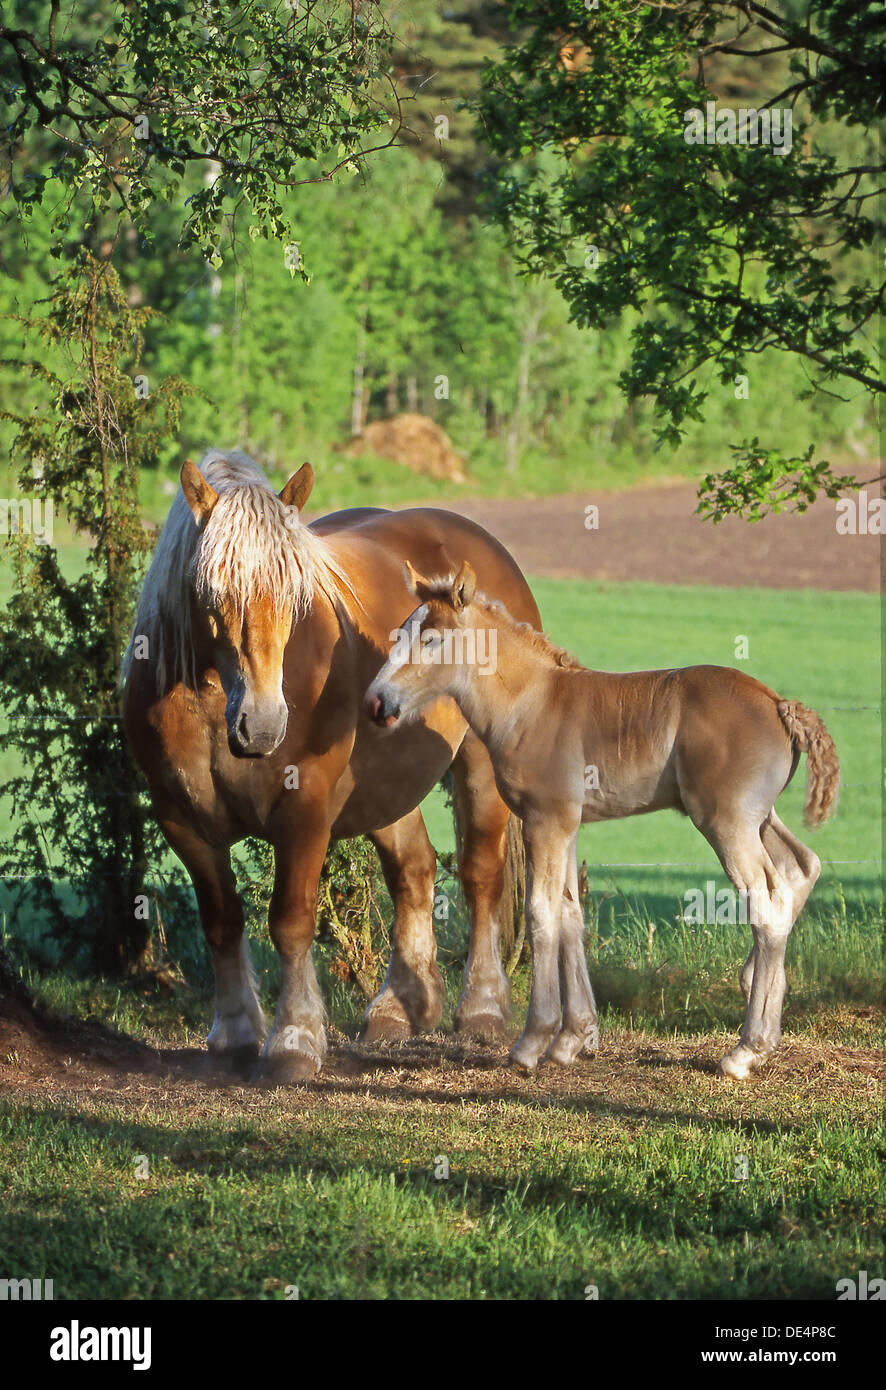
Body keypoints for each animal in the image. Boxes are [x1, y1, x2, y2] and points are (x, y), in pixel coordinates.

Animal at [122, 450, 541, 1081]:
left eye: (295, 593)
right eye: (212, 590)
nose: (263, 726)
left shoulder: (304, 811)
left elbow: (291, 921)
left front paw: (293, 1042)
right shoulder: (181, 821)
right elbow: (221, 920)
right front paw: (235, 1033)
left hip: (479, 768)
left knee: (480, 874)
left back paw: (483, 1008)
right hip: (386, 783)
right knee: (413, 870)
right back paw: (399, 1007)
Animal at [364, 561, 840, 1081]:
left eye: (432, 639)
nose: (376, 703)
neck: (529, 704)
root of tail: (779, 703)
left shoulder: (546, 820)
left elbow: (542, 914)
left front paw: (532, 1043)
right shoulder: (568, 825)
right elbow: (572, 914)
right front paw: (573, 1039)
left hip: (725, 822)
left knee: (768, 906)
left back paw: (745, 1050)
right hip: (760, 818)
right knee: (801, 868)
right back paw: (762, 1005)